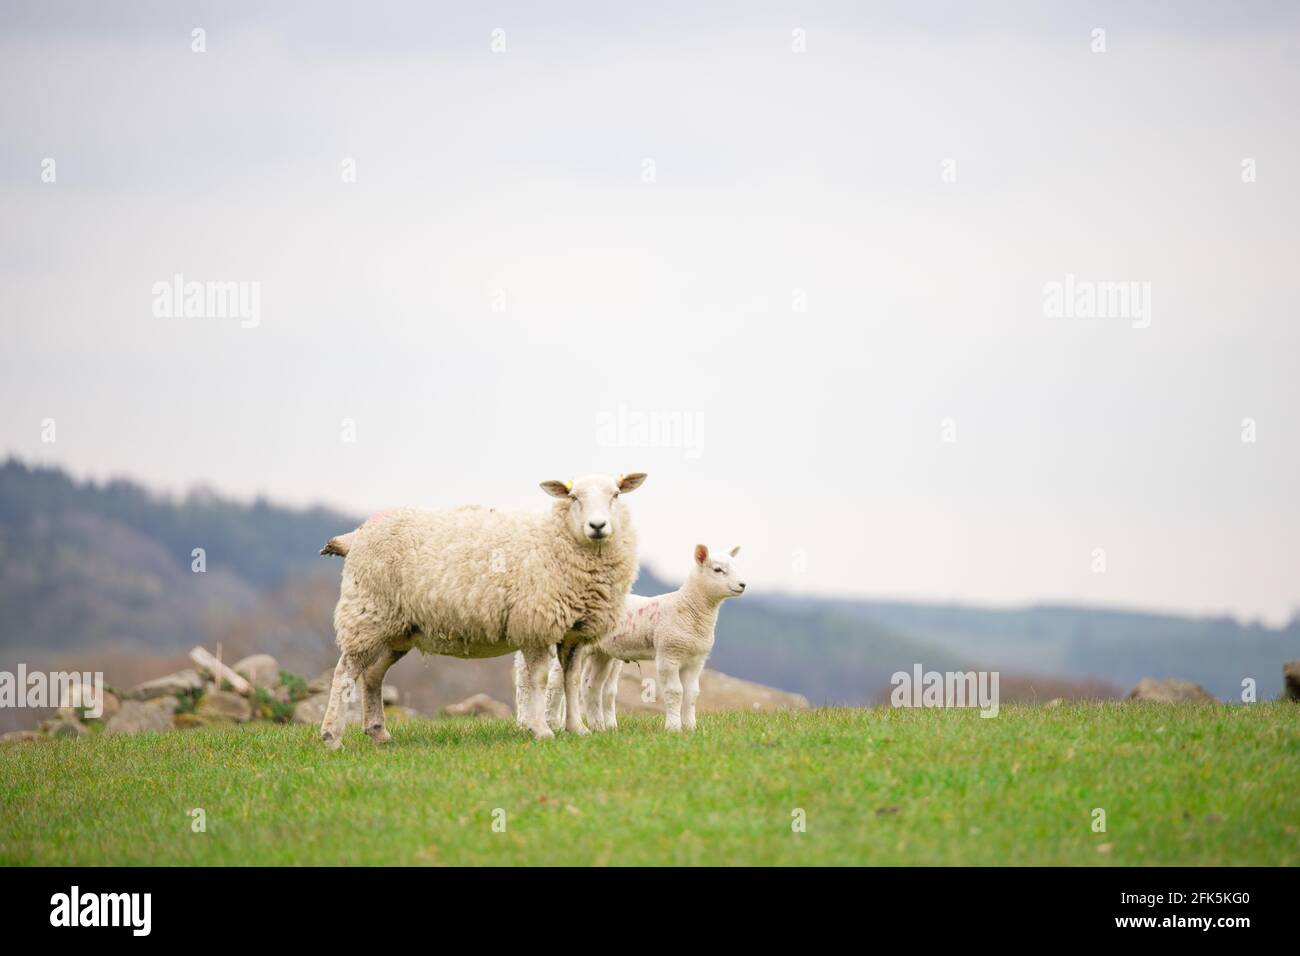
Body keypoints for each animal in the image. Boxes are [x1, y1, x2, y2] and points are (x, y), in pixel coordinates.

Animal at [317, 472, 647, 748]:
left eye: (616, 494)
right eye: (574, 497)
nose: (597, 527)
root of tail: (356, 535)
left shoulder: (575, 631)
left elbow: (572, 680)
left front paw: (578, 729)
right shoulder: (534, 624)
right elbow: (539, 680)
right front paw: (542, 730)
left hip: (398, 629)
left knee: (373, 674)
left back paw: (378, 732)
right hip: (366, 614)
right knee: (345, 672)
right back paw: (332, 737)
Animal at [582, 544, 745, 732]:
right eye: (718, 569)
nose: (743, 584)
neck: (689, 608)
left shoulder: (696, 660)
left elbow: (692, 693)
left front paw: (690, 728)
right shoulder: (669, 654)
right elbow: (675, 691)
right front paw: (673, 728)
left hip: (602, 653)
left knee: (591, 686)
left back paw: (598, 726)